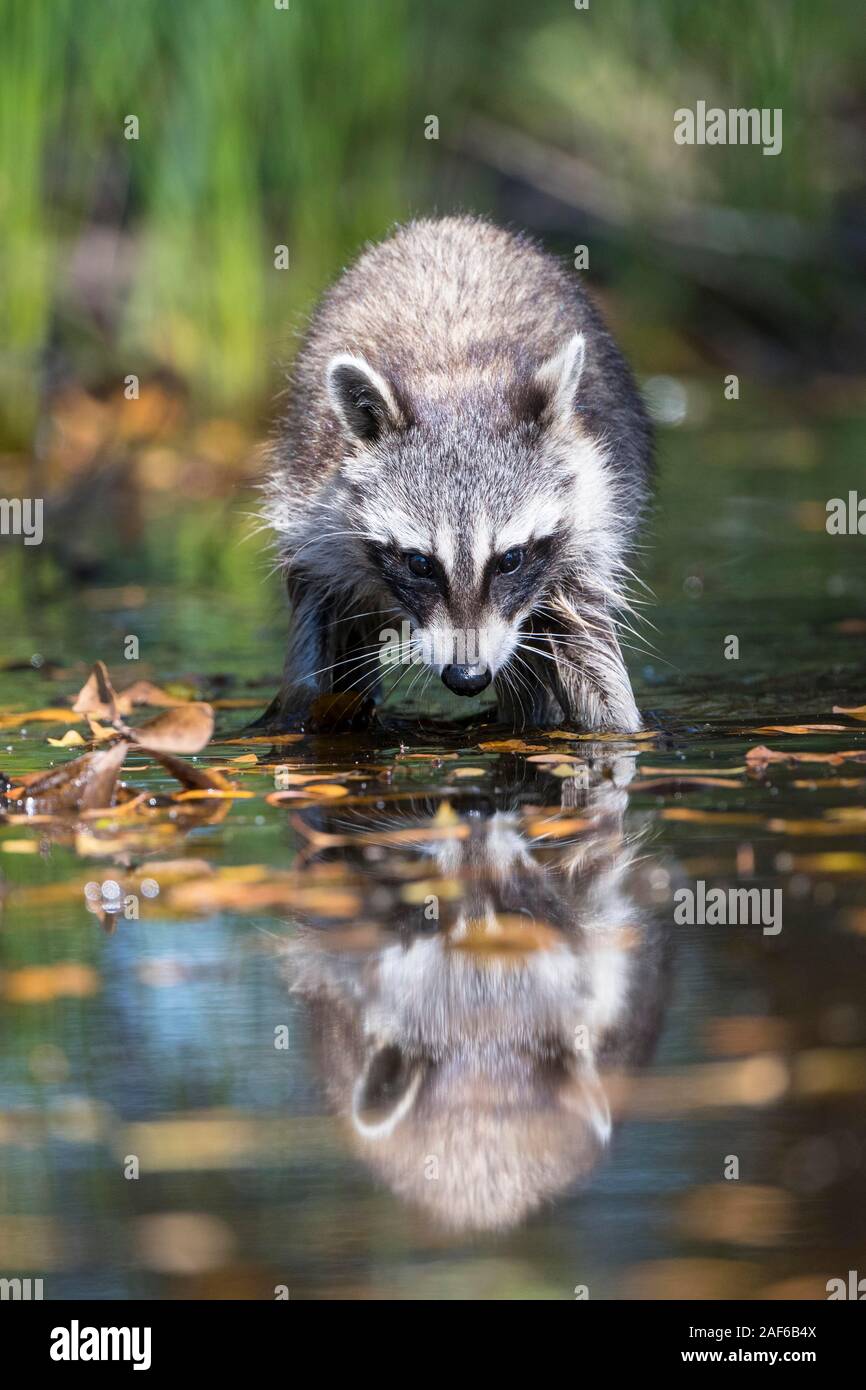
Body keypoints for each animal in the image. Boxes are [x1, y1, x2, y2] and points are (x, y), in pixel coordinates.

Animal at [263, 215, 653, 731]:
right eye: (420, 564)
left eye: (510, 559)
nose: (467, 676)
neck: (455, 379)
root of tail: (450, 223)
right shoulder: (312, 512)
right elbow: (315, 637)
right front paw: (297, 713)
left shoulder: (585, 529)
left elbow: (590, 656)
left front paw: (615, 728)